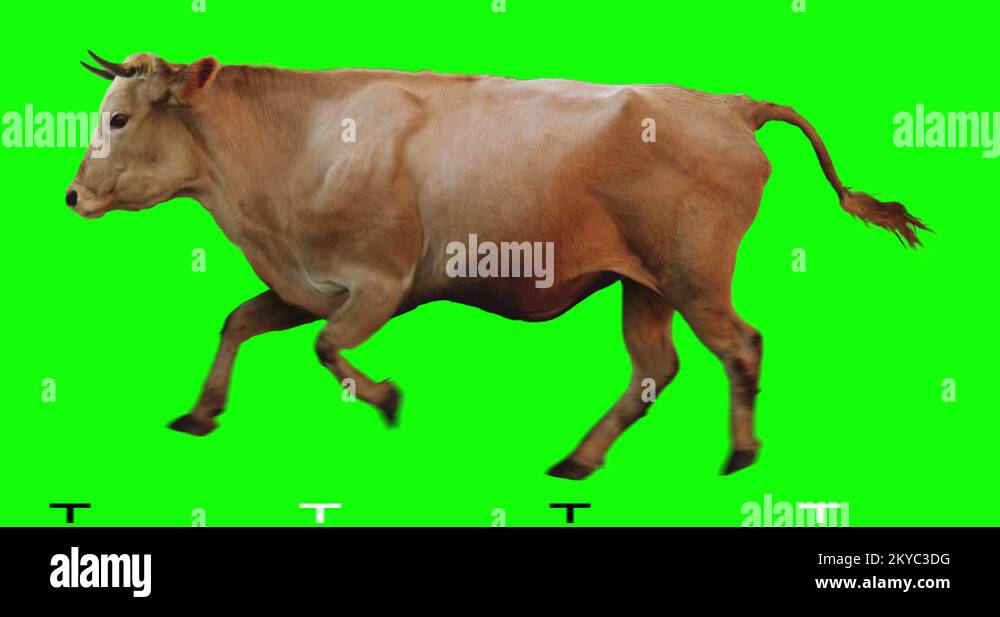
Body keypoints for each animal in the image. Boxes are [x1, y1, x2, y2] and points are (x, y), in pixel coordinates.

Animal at [68, 51, 928, 480]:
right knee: (657, 366)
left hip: (694, 275)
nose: (73, 193)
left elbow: (326, 347)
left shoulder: (378, 283)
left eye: (120, 118)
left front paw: (387, 399)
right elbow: (238, 321)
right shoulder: (308, 282)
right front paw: (201, 411)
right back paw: (579, 458)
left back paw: (740, 453)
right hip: (642, 284)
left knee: (740, 345)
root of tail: (726, 104)